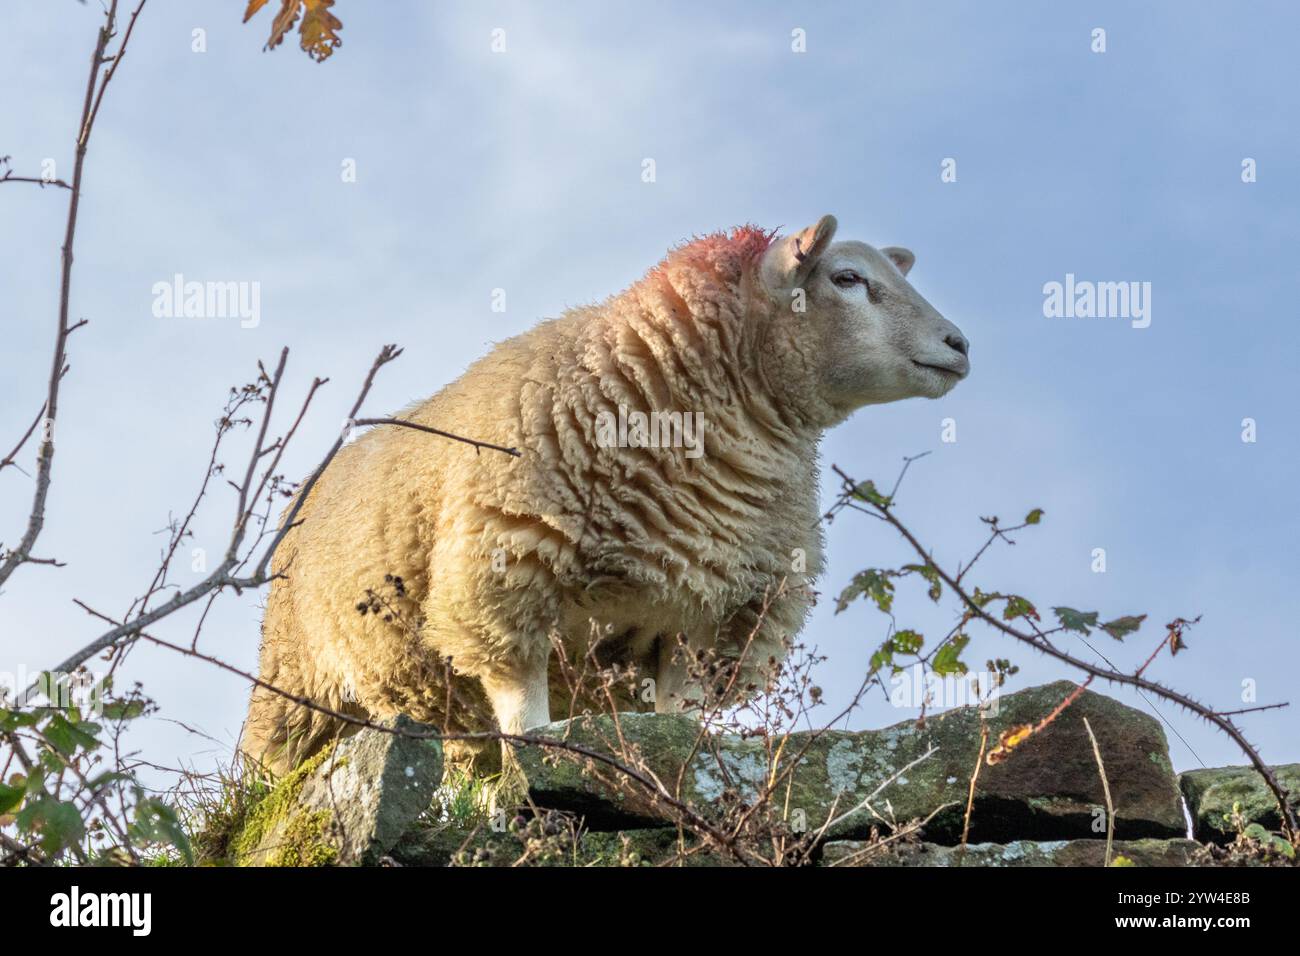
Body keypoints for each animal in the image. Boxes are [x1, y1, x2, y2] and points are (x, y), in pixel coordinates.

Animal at [241, 215, 970, 781]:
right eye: (846, 278)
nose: (959, 344)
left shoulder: (705, 621)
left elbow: (680, 722)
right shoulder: (503, 586)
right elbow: (526, 721)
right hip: (292, 687)